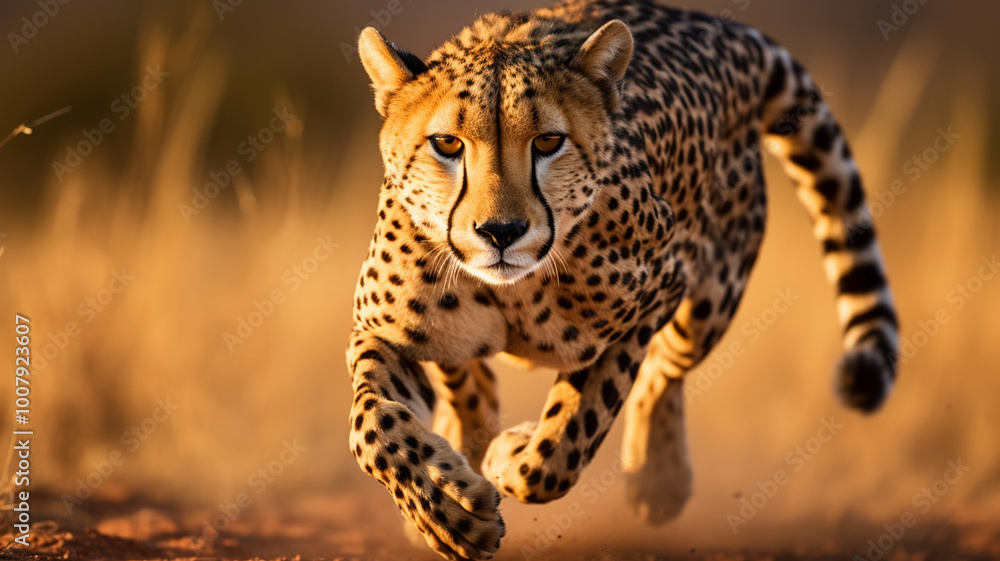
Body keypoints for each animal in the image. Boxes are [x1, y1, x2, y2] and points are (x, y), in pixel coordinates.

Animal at [346, 1, 900, 559]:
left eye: (548, 141)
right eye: (446, 143)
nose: (500, 232)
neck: (509, 291)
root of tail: (717, 25)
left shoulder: (652, 298)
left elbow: (564, 441)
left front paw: (509, 455)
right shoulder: (379, 331)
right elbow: (372, 426)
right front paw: (445, 508)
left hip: (710, 294)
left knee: (666, 367)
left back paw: (660, 481)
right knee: (468, 379)